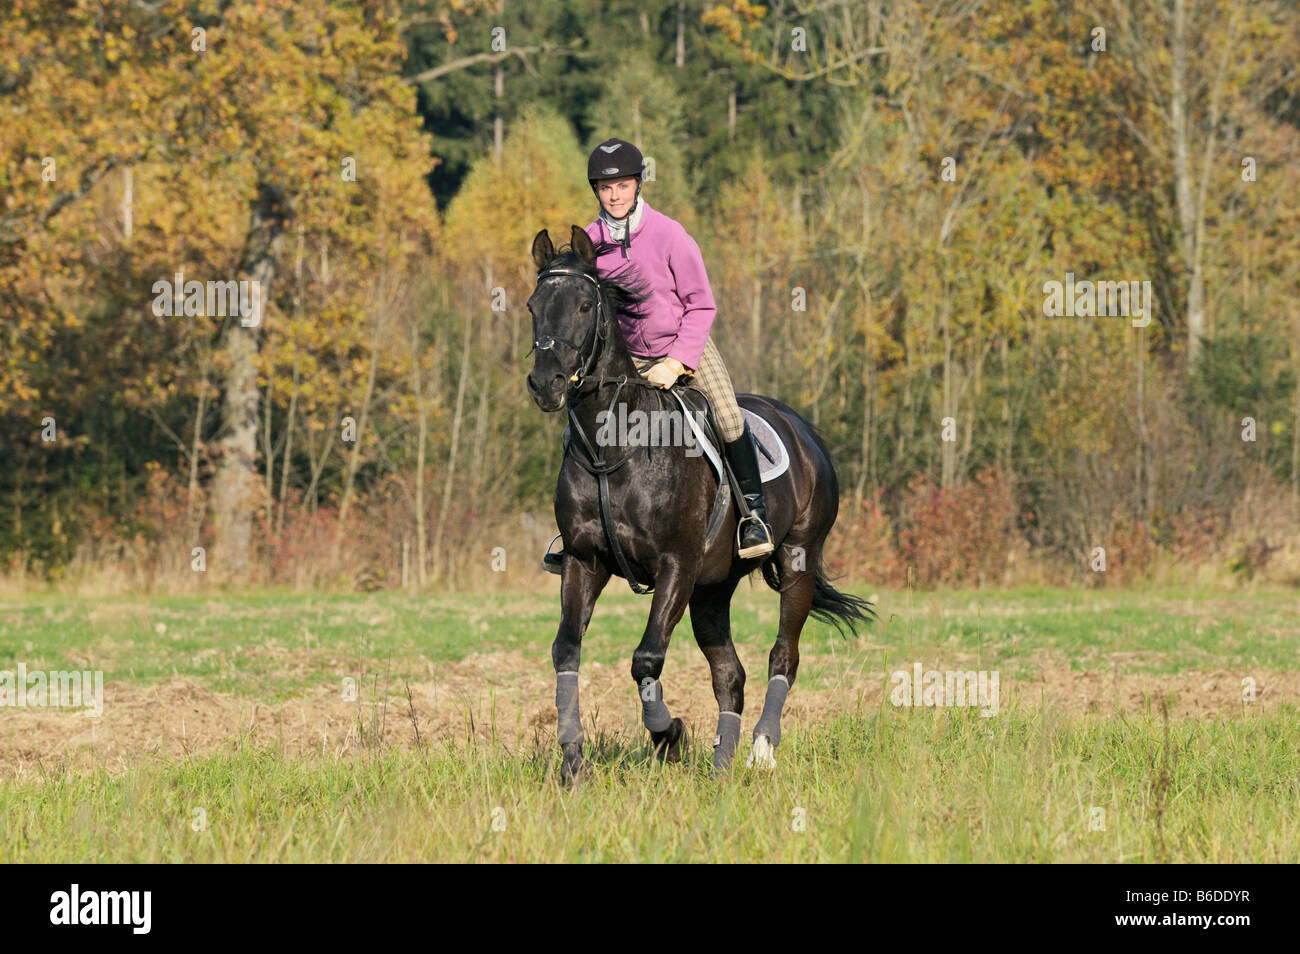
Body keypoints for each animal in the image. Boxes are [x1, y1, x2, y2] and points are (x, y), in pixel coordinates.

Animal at [525, 224, 873, 783]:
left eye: (583, 305)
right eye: (533, 306)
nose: (546, 384)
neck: (612, 449)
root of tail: (803, 429)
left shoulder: (677, 565)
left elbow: (646, 657)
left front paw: (669, 737)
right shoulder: (584, 562)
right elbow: (567, 651)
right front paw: (573, 760)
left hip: (795, 560)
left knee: (783, 656)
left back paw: (760, 751)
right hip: (712, 589)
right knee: (730, 673)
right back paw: (721, 763)